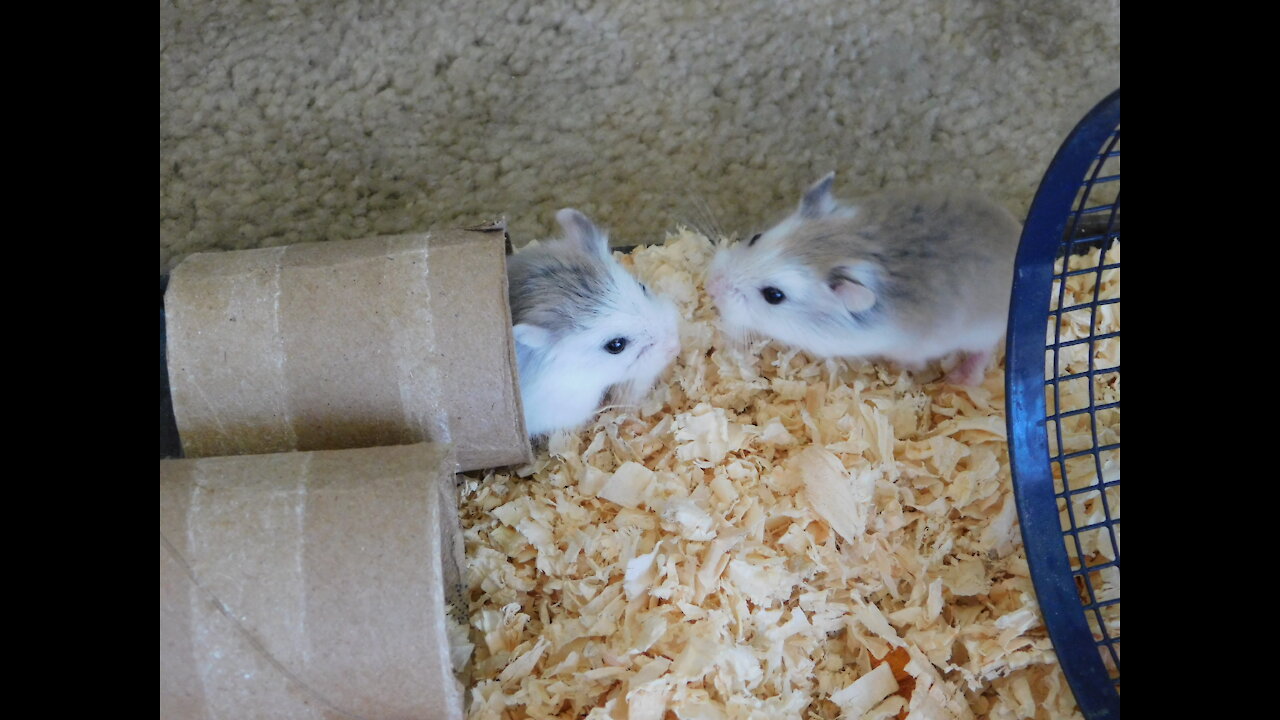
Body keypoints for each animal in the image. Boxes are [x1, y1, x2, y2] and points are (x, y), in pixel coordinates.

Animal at [706, 173, 1021, 385]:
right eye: (755, 237)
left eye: (773, 295)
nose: (711, 288)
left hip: (981, 330)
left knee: (984, 350)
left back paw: (960, 379)